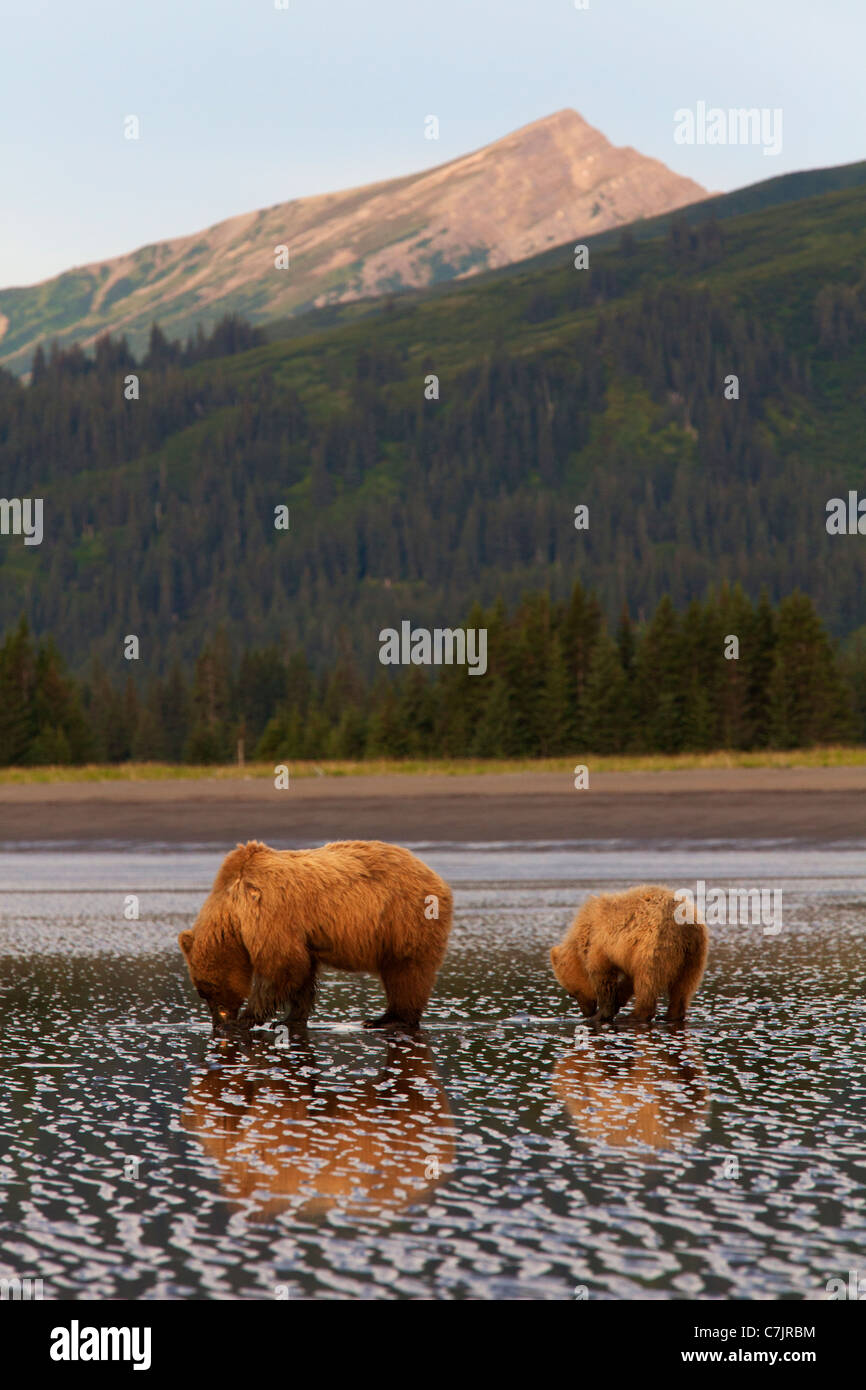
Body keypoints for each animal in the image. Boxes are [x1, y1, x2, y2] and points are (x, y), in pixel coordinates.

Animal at [178, 839, 453, 1033]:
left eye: (206, 990)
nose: (217, 1023)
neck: (233, 910)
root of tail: (434, 875)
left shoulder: (267, 910)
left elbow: (282, 963)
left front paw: (247, 1018)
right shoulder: (298, 933)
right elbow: (301, 971)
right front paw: (291, 1018)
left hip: (402, 918)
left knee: (406, 972)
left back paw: (388, 1020)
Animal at [550, 884, 708, 1024]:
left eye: (572, 993)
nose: (586, 1012)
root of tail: (686, 924)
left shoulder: (600, 945)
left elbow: (603, 976)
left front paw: (601, 1014)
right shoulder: (628, 953)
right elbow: (629, 979)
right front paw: (617, 1000)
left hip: (656, 944)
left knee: (648, 980)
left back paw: (634, 1016)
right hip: (693, 954)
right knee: (684, 985)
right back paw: (670, 1015)